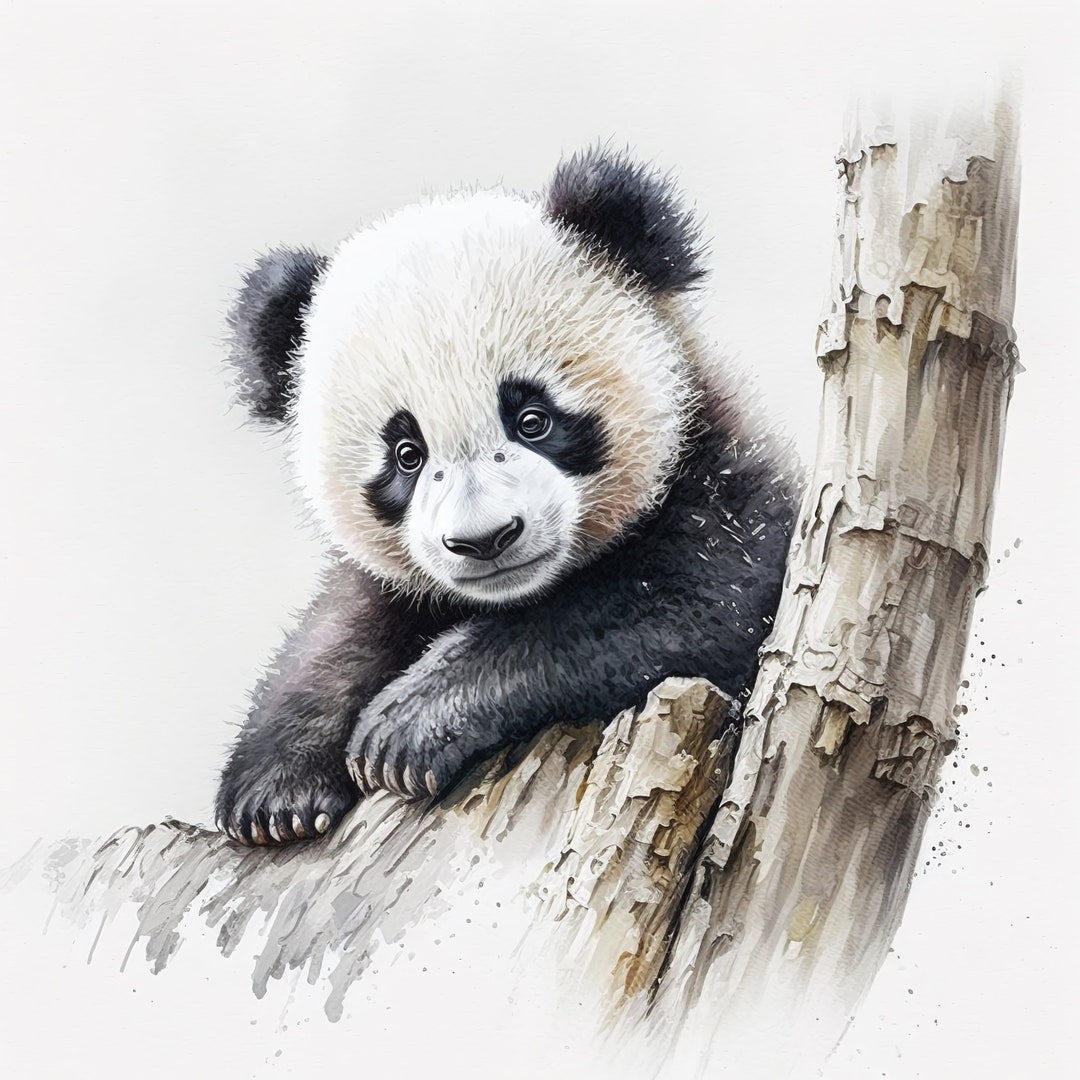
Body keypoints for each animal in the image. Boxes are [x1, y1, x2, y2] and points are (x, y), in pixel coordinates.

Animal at [215, 147, 799, 846]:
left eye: (532, 419)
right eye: (406, 455)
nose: (485, 539)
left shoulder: (726, 486)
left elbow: (695, 603)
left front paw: (408, 725)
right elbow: (340, 634)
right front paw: (275, 796)